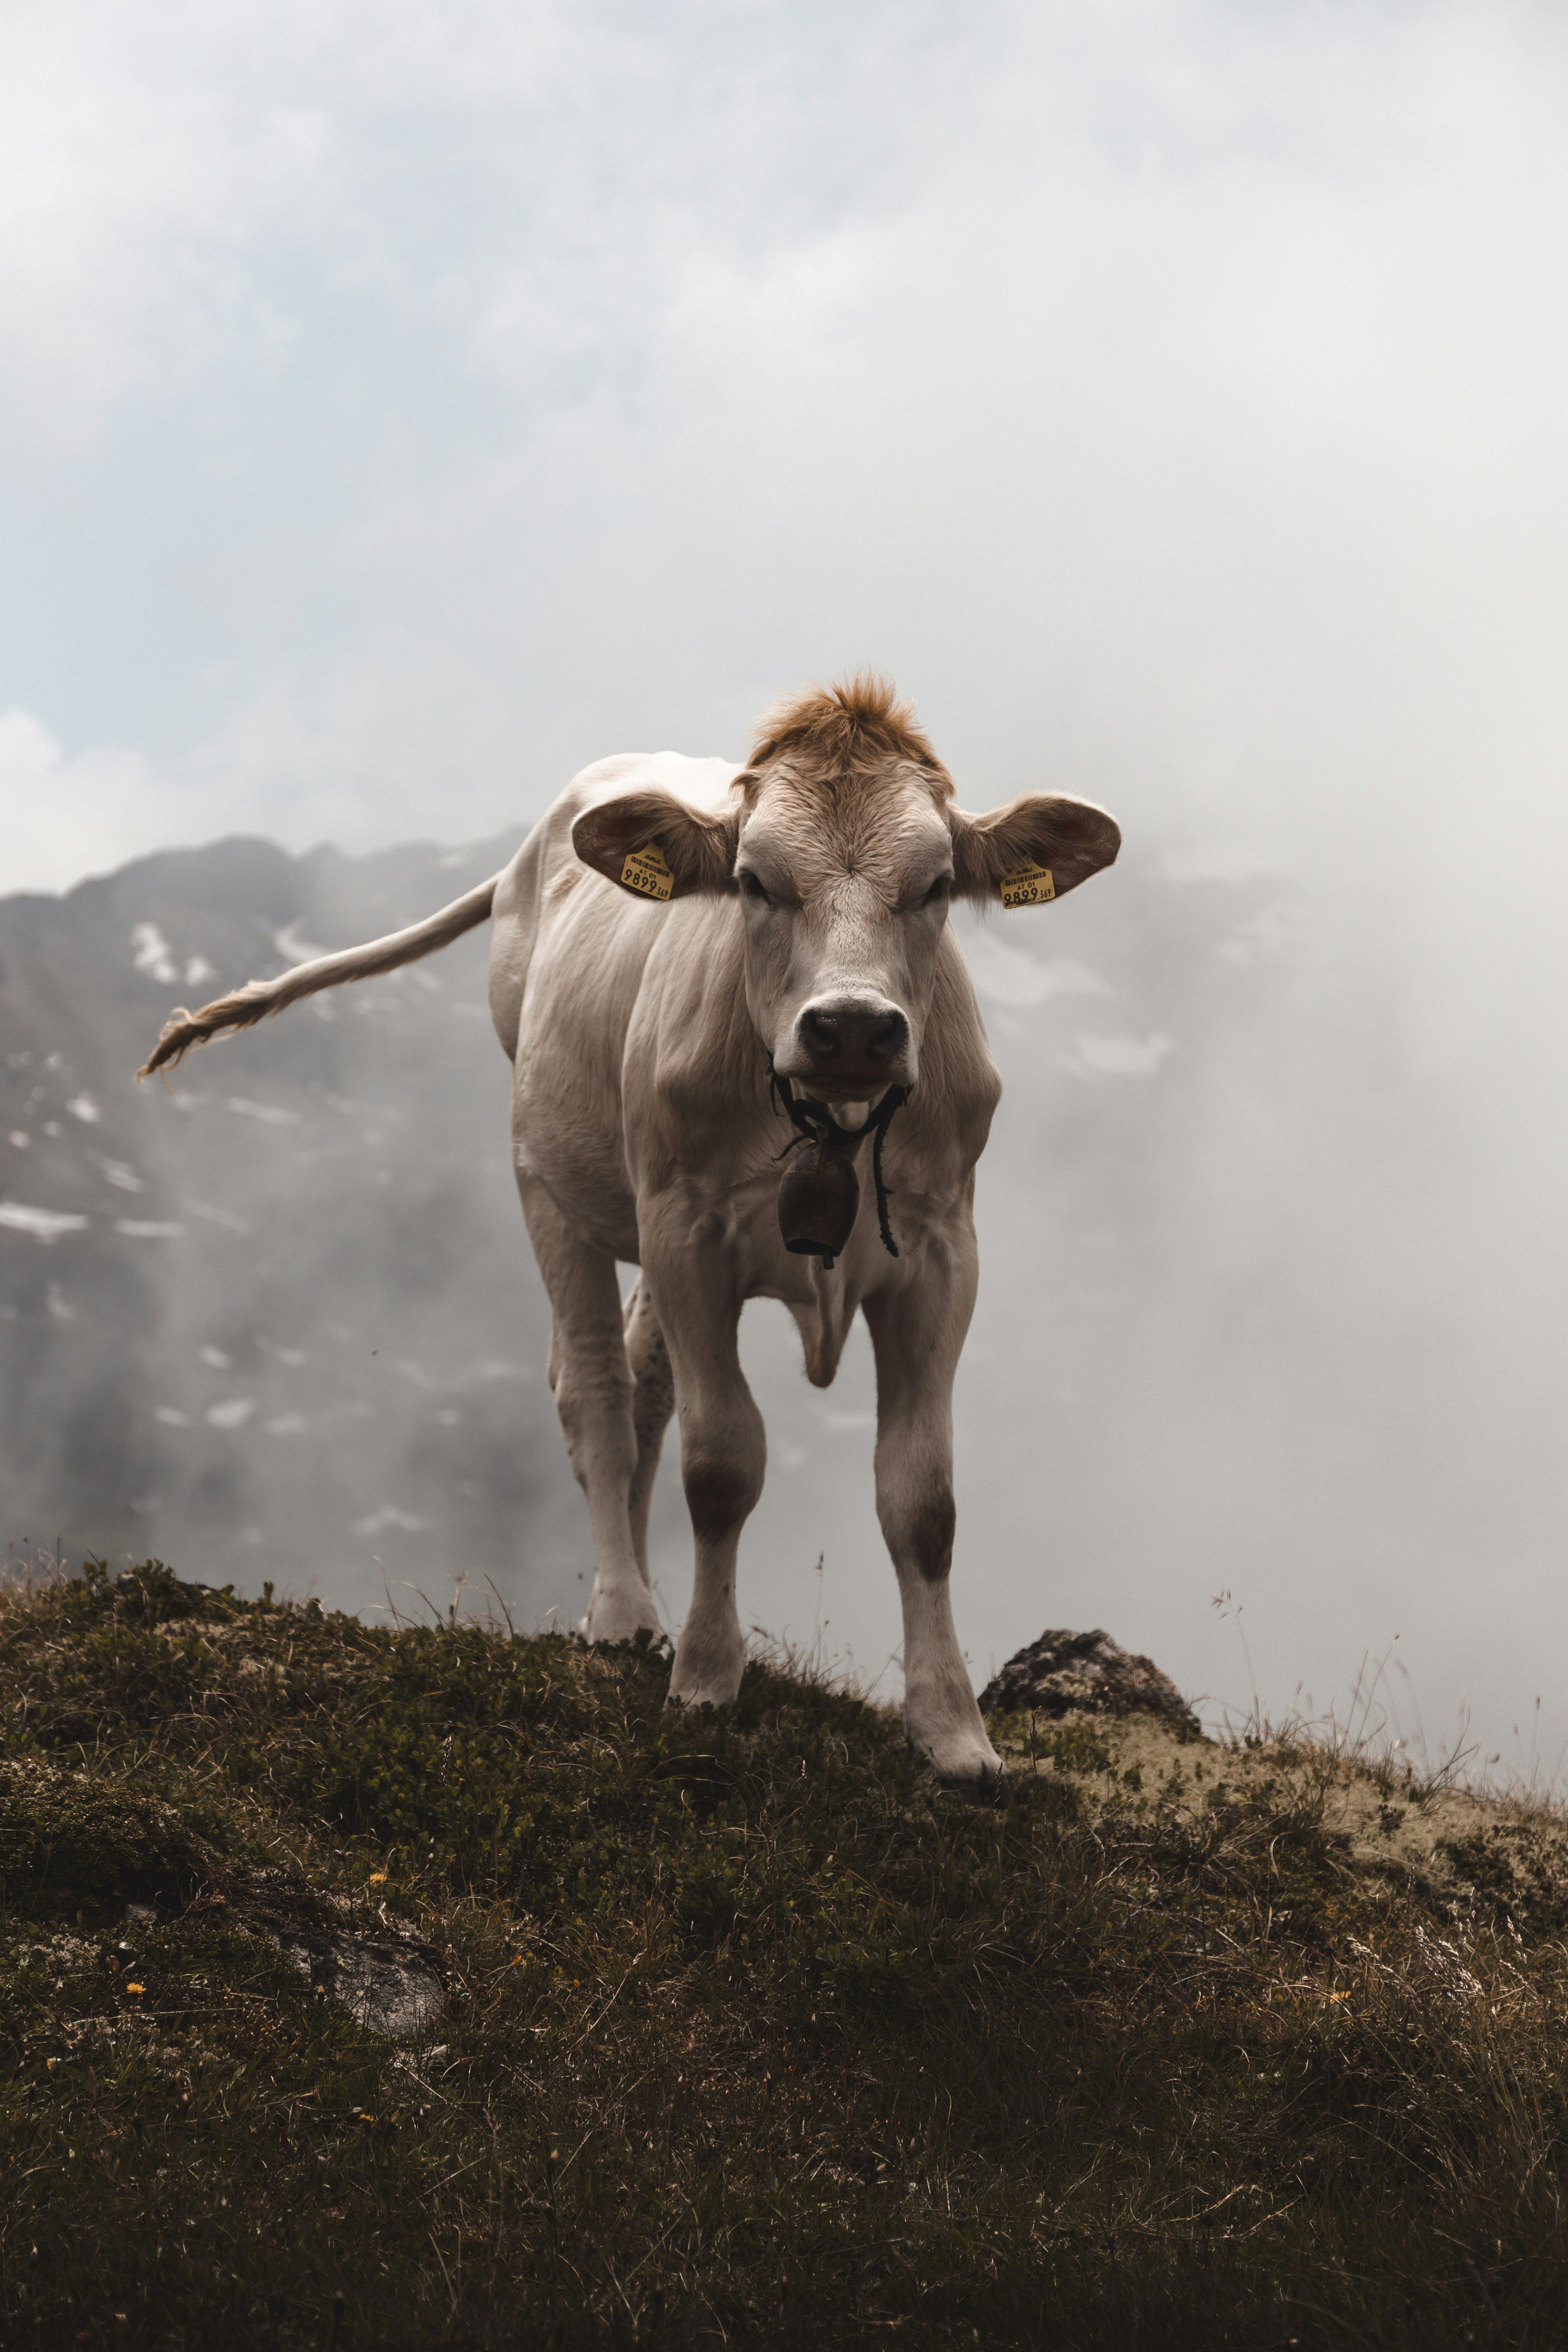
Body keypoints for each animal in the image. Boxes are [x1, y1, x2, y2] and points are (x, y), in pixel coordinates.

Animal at [139, 677, 1120, 1791]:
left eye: (937, 885)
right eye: (752, 882)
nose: (853, 1029)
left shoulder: (940, 1250)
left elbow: (922, 1498)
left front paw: (952, 1731)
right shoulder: (687, 1232)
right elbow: (722, 1462)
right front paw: (705, 1678)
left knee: (647, 1395)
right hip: (553, 1189)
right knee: (599, 1395)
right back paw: (622, 1611)